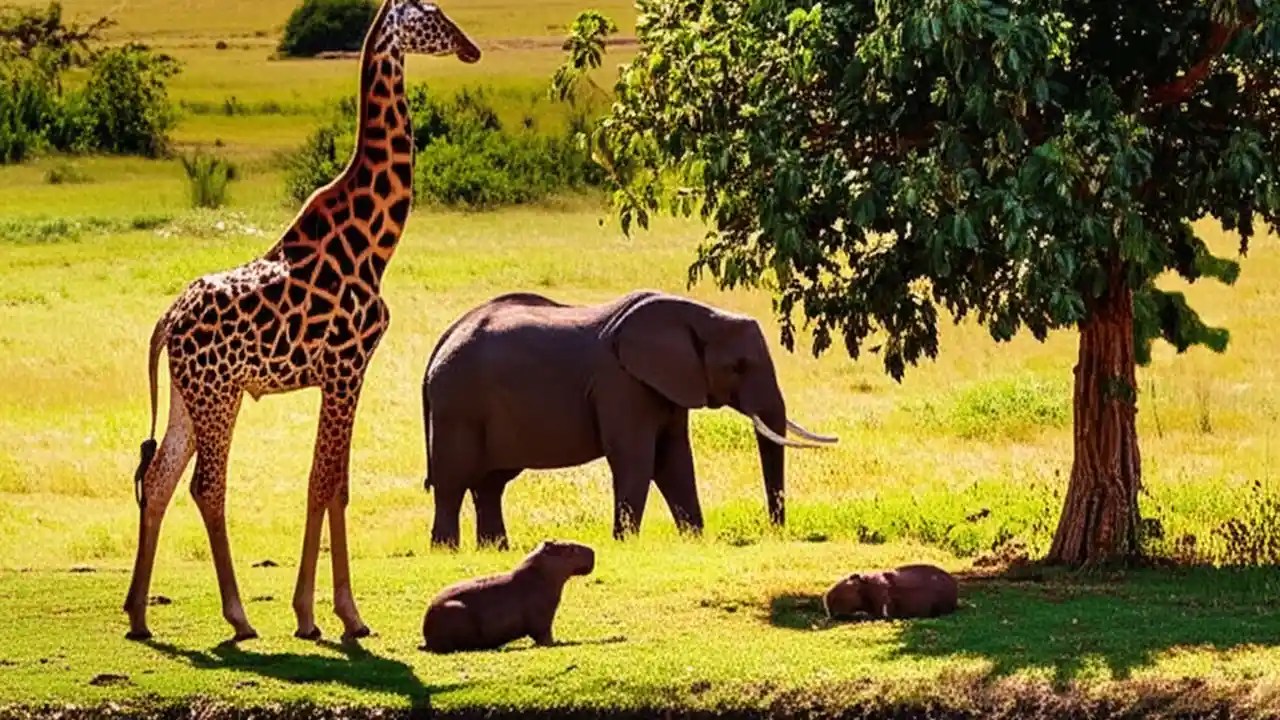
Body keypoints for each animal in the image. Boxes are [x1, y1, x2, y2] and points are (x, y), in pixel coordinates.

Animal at [122, 0, 480, 643]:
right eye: (434, 13)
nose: (472, 47)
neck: (376, 243)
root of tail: (166, 322)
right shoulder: (345, 368)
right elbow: (322, 481)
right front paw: (322, 614)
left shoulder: (344, 375)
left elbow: (337, 482)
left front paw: (337, 612)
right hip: (219, 393)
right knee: (206, 486)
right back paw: (238, 617)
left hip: (191, 395)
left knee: (158, 478)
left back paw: (138, 614)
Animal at [420, 289, 837, 549]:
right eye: (737, 366)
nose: (774, 529)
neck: (698, 312)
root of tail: (442, 341)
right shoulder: (621, 384)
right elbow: (637, 459)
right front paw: (625, 544)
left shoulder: (669, 384)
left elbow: (675, 462)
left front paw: (694, 539)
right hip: (457, 407)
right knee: (452, 483)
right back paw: (447, 551)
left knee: (490, 485)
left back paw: (496, 551)